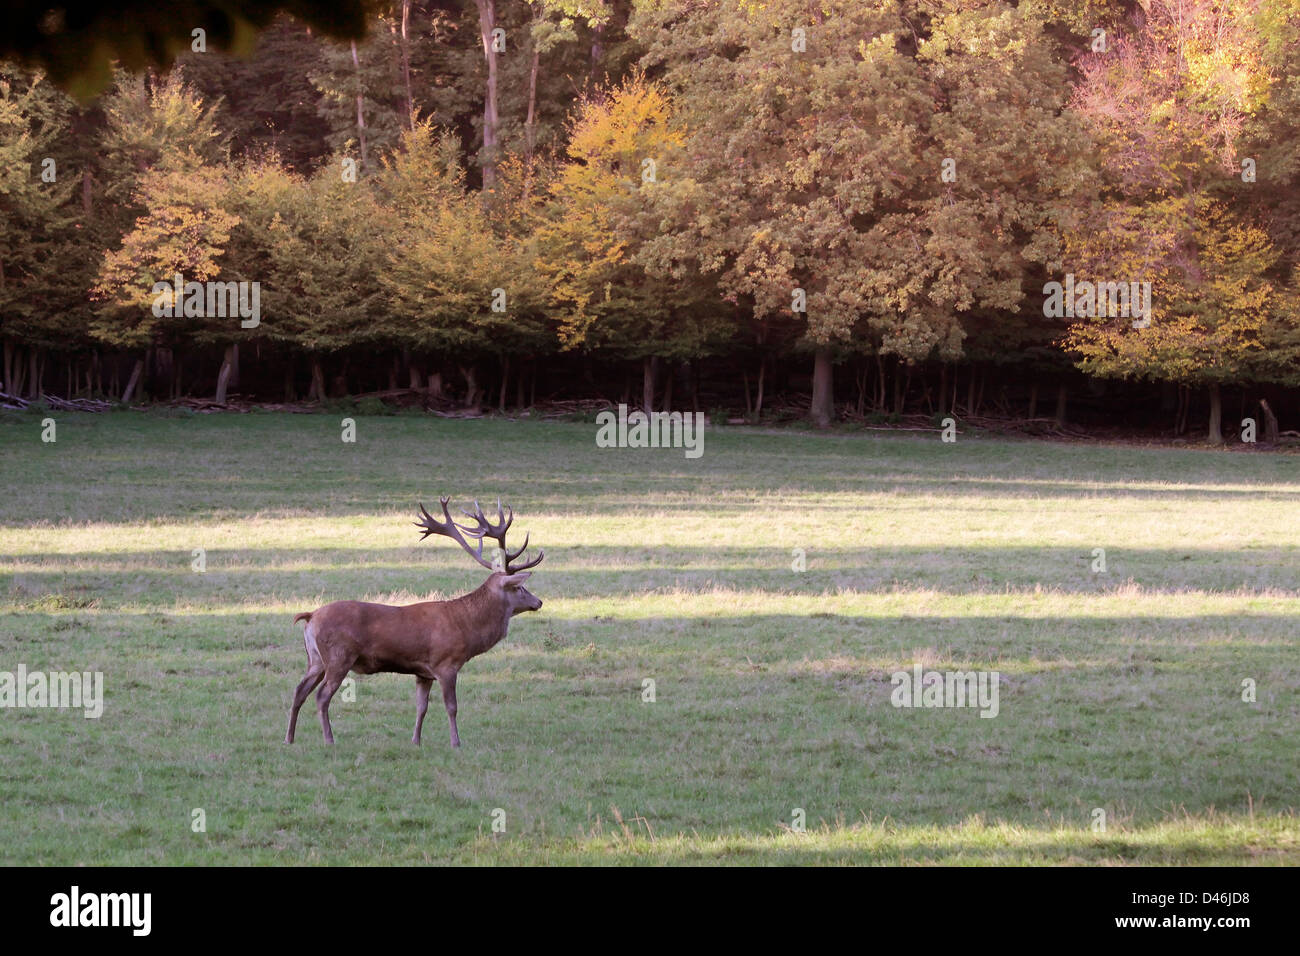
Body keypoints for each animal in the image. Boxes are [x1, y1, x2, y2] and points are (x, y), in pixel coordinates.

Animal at [285, 496, 544, 749]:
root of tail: (310, 616)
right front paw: (456, 743)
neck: (466, 626)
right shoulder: (446, 663)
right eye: (519, 587)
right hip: (339, 656)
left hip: (316, 659)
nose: (539, 601)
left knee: (299, 690)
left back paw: (289, 738)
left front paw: (416, 741)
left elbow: (421, 708)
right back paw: (329, 740)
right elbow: (452, 707)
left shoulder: (423, 672)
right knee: (321, 696)